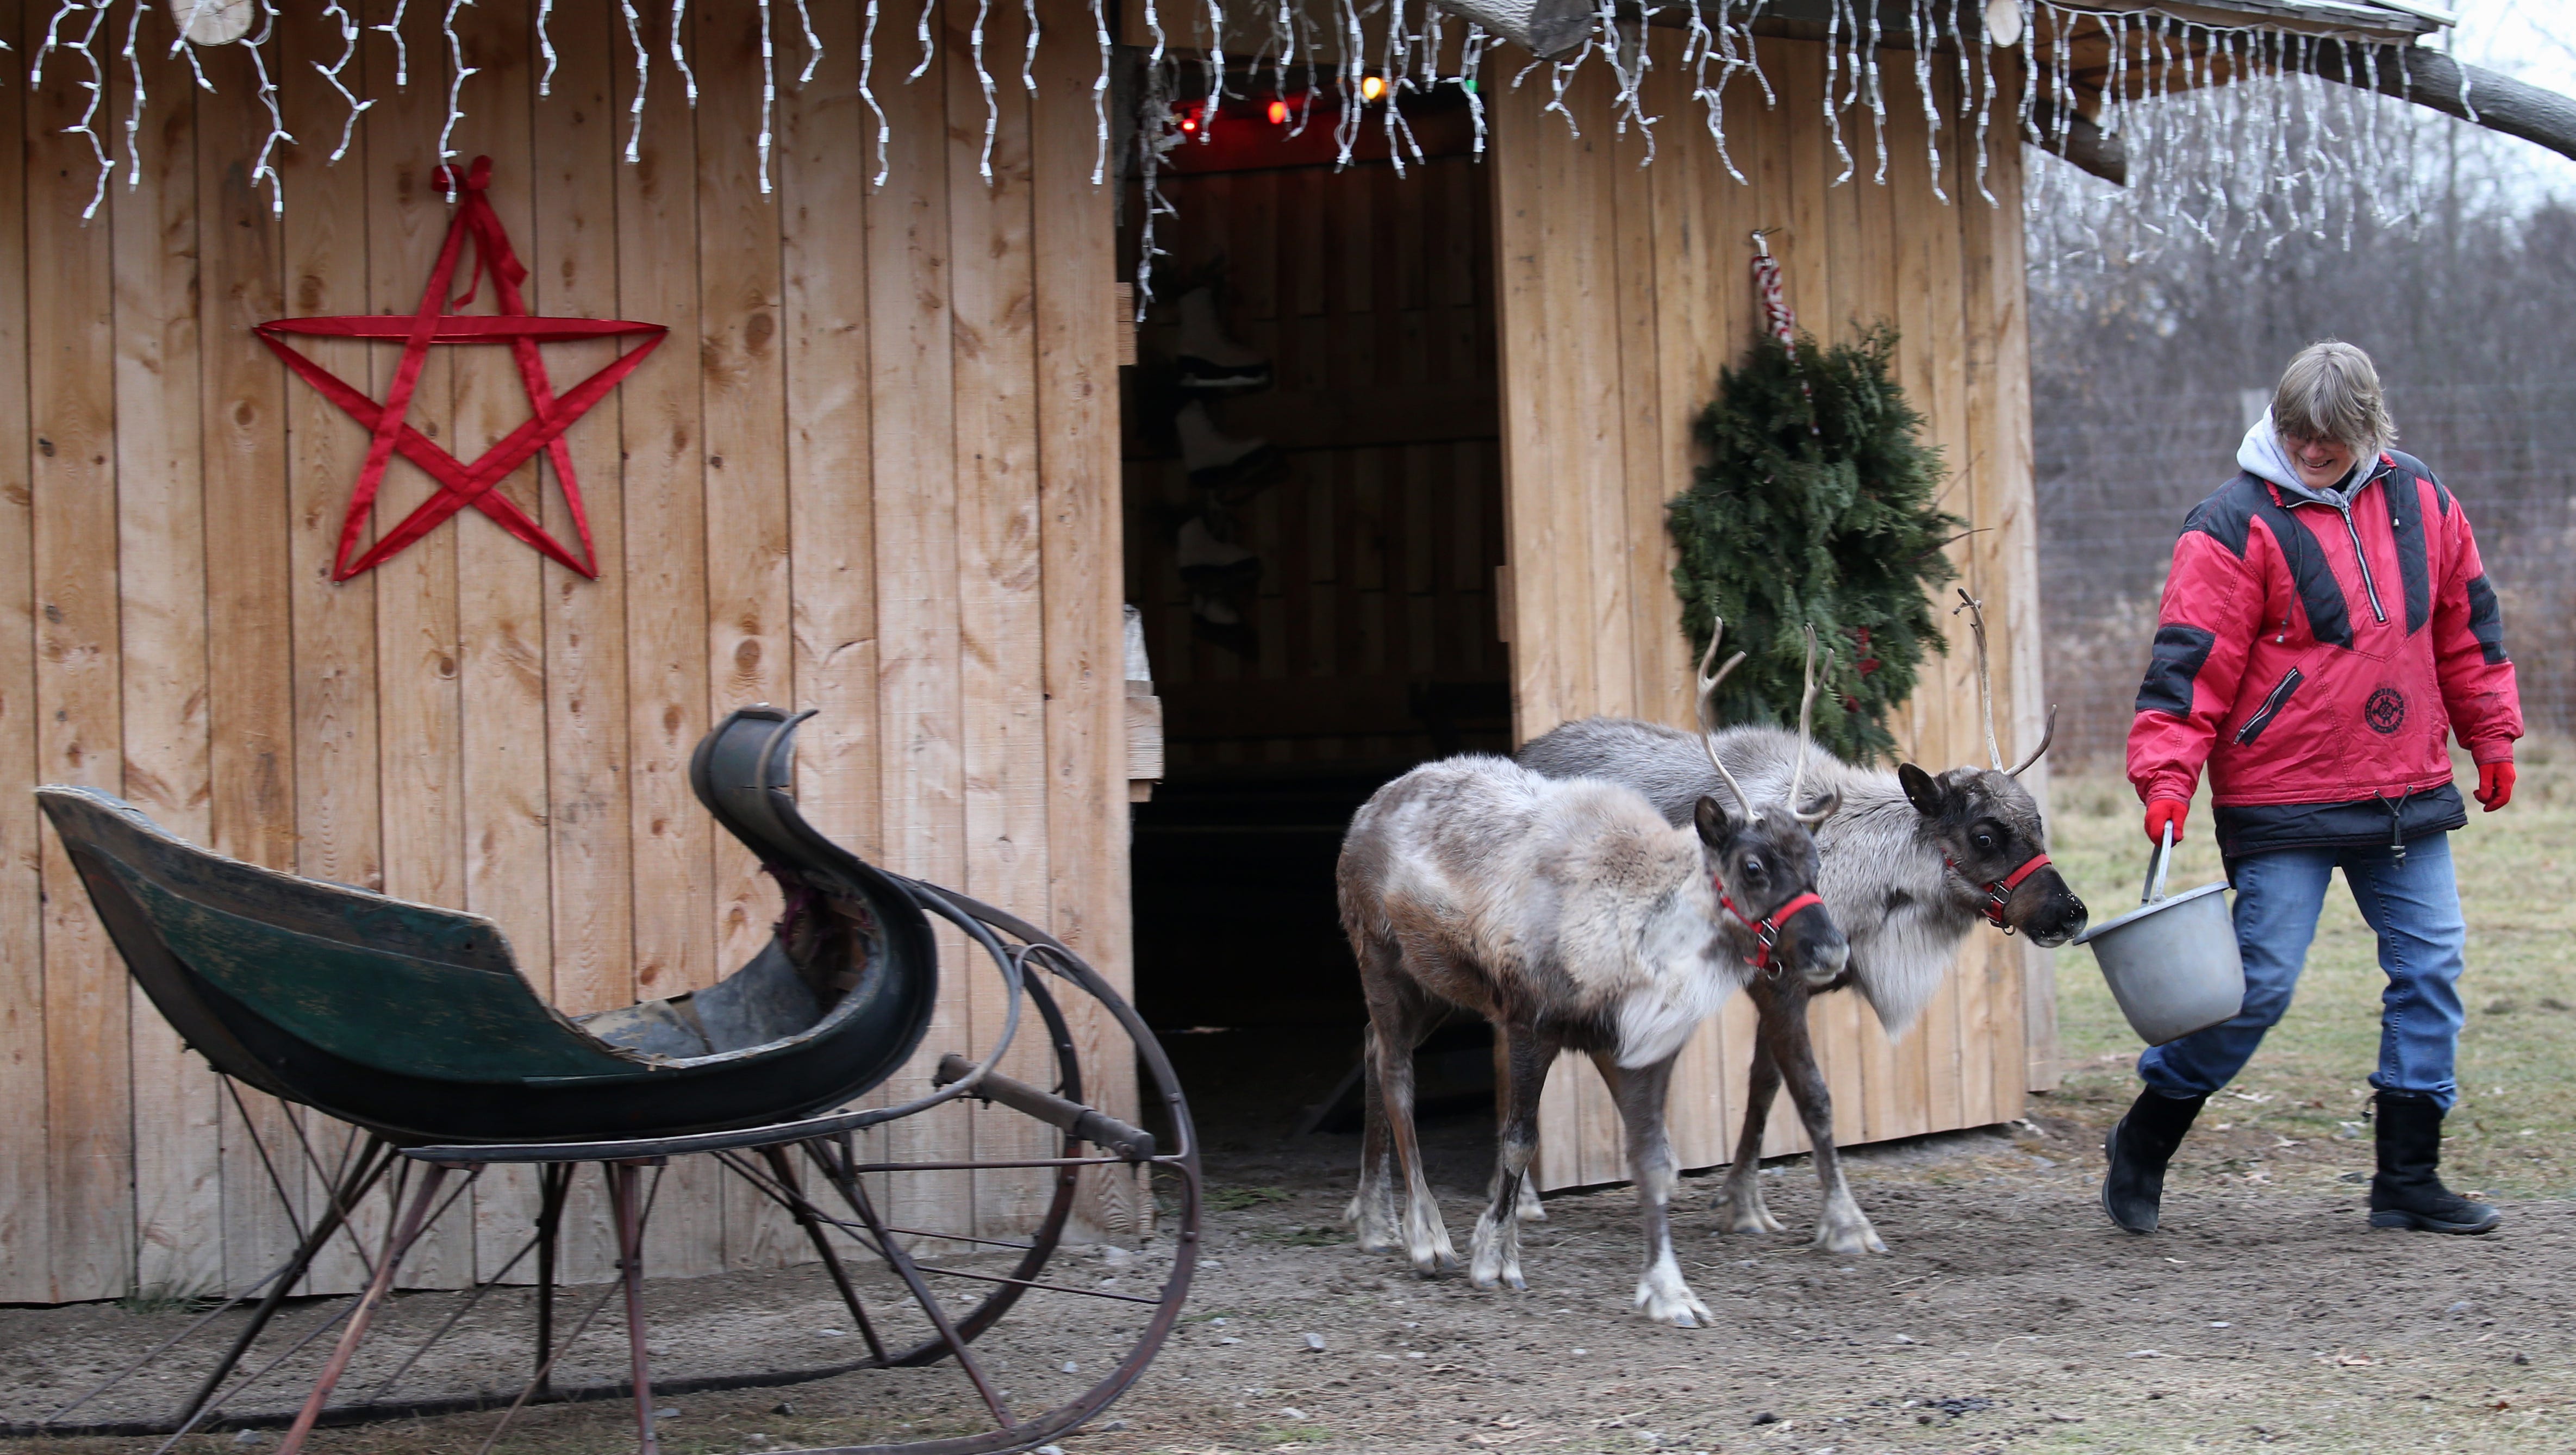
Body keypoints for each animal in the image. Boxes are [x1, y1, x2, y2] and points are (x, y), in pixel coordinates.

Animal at [1336, 621, 1848, 1326]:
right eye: (1752, 866)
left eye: (1815, 862)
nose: (1832, 949)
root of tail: (1366, 809)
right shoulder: (1529, 1021)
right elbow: (1518, 1141)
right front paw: (1494, 1257)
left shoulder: (1639, 1047)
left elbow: (1653, 1160)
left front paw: (1669, 1291)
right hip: (1380, 959)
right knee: (1396, 1075)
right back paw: (1424, 1235)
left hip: (1436, 986)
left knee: (1369, 1045)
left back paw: (1373, 1218)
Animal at [1517, 593, 2089, 1256]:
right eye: (1985, 836)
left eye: (2038, 822)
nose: (2070, 911)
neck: (1864, 887)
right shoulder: (1780, 987)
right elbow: (1812, 1095)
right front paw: (1845, 1221)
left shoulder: (1791, 990)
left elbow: (1763, 1090)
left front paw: (1741, 1203)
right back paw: (1525, 1199)